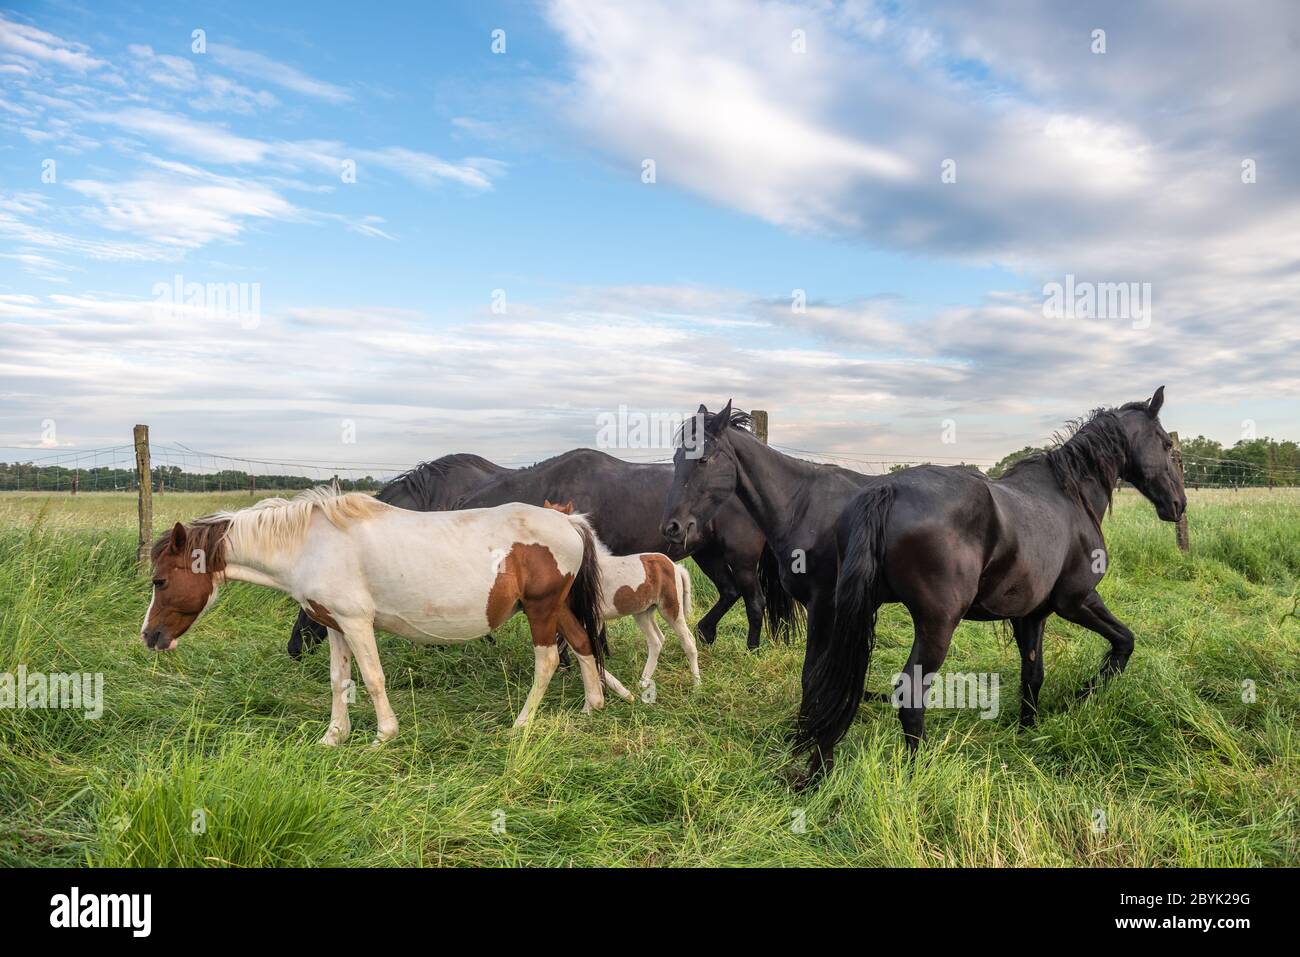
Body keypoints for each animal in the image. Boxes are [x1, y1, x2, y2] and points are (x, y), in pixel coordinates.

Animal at [141, 487, 633, 743]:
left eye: (159, 581)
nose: (149, 637)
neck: (310, 543)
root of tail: (567, 521)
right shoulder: (336, 625)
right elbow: (339, 681)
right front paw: (333, 737)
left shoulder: (357, 623)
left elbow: (373, 678)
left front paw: (384, 736)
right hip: (559, 606)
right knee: (584, 647)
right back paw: (592, 706)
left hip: (541, 610)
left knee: (547, 661)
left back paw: (522, 723)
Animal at [456, 447, 800, 650]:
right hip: (707, 553)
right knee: (729, 591)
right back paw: (705, 633)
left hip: (741, 558)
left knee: (754, 600)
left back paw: (751, 647)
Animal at [544, 500, 700, 693]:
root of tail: (675, 567)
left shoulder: (594, 619)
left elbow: (591, 649)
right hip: (642, 613)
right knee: (656, 641)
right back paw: (643, 682)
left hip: (671, 610)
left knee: (688, 642)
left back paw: (697, 685)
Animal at [794, 387, 1186, 785]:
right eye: (1168, 445)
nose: (1178, 504)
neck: (1071, 496)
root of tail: (888, 489)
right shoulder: (1077, 601)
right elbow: (1123, 643)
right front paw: (1080, 696)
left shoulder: (1031, 615)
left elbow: (1033, 674)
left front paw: (1029, 729)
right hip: (937, 625)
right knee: (909, 694)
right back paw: (917, 773)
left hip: (849, 614)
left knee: (831, 682)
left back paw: (818, 771)